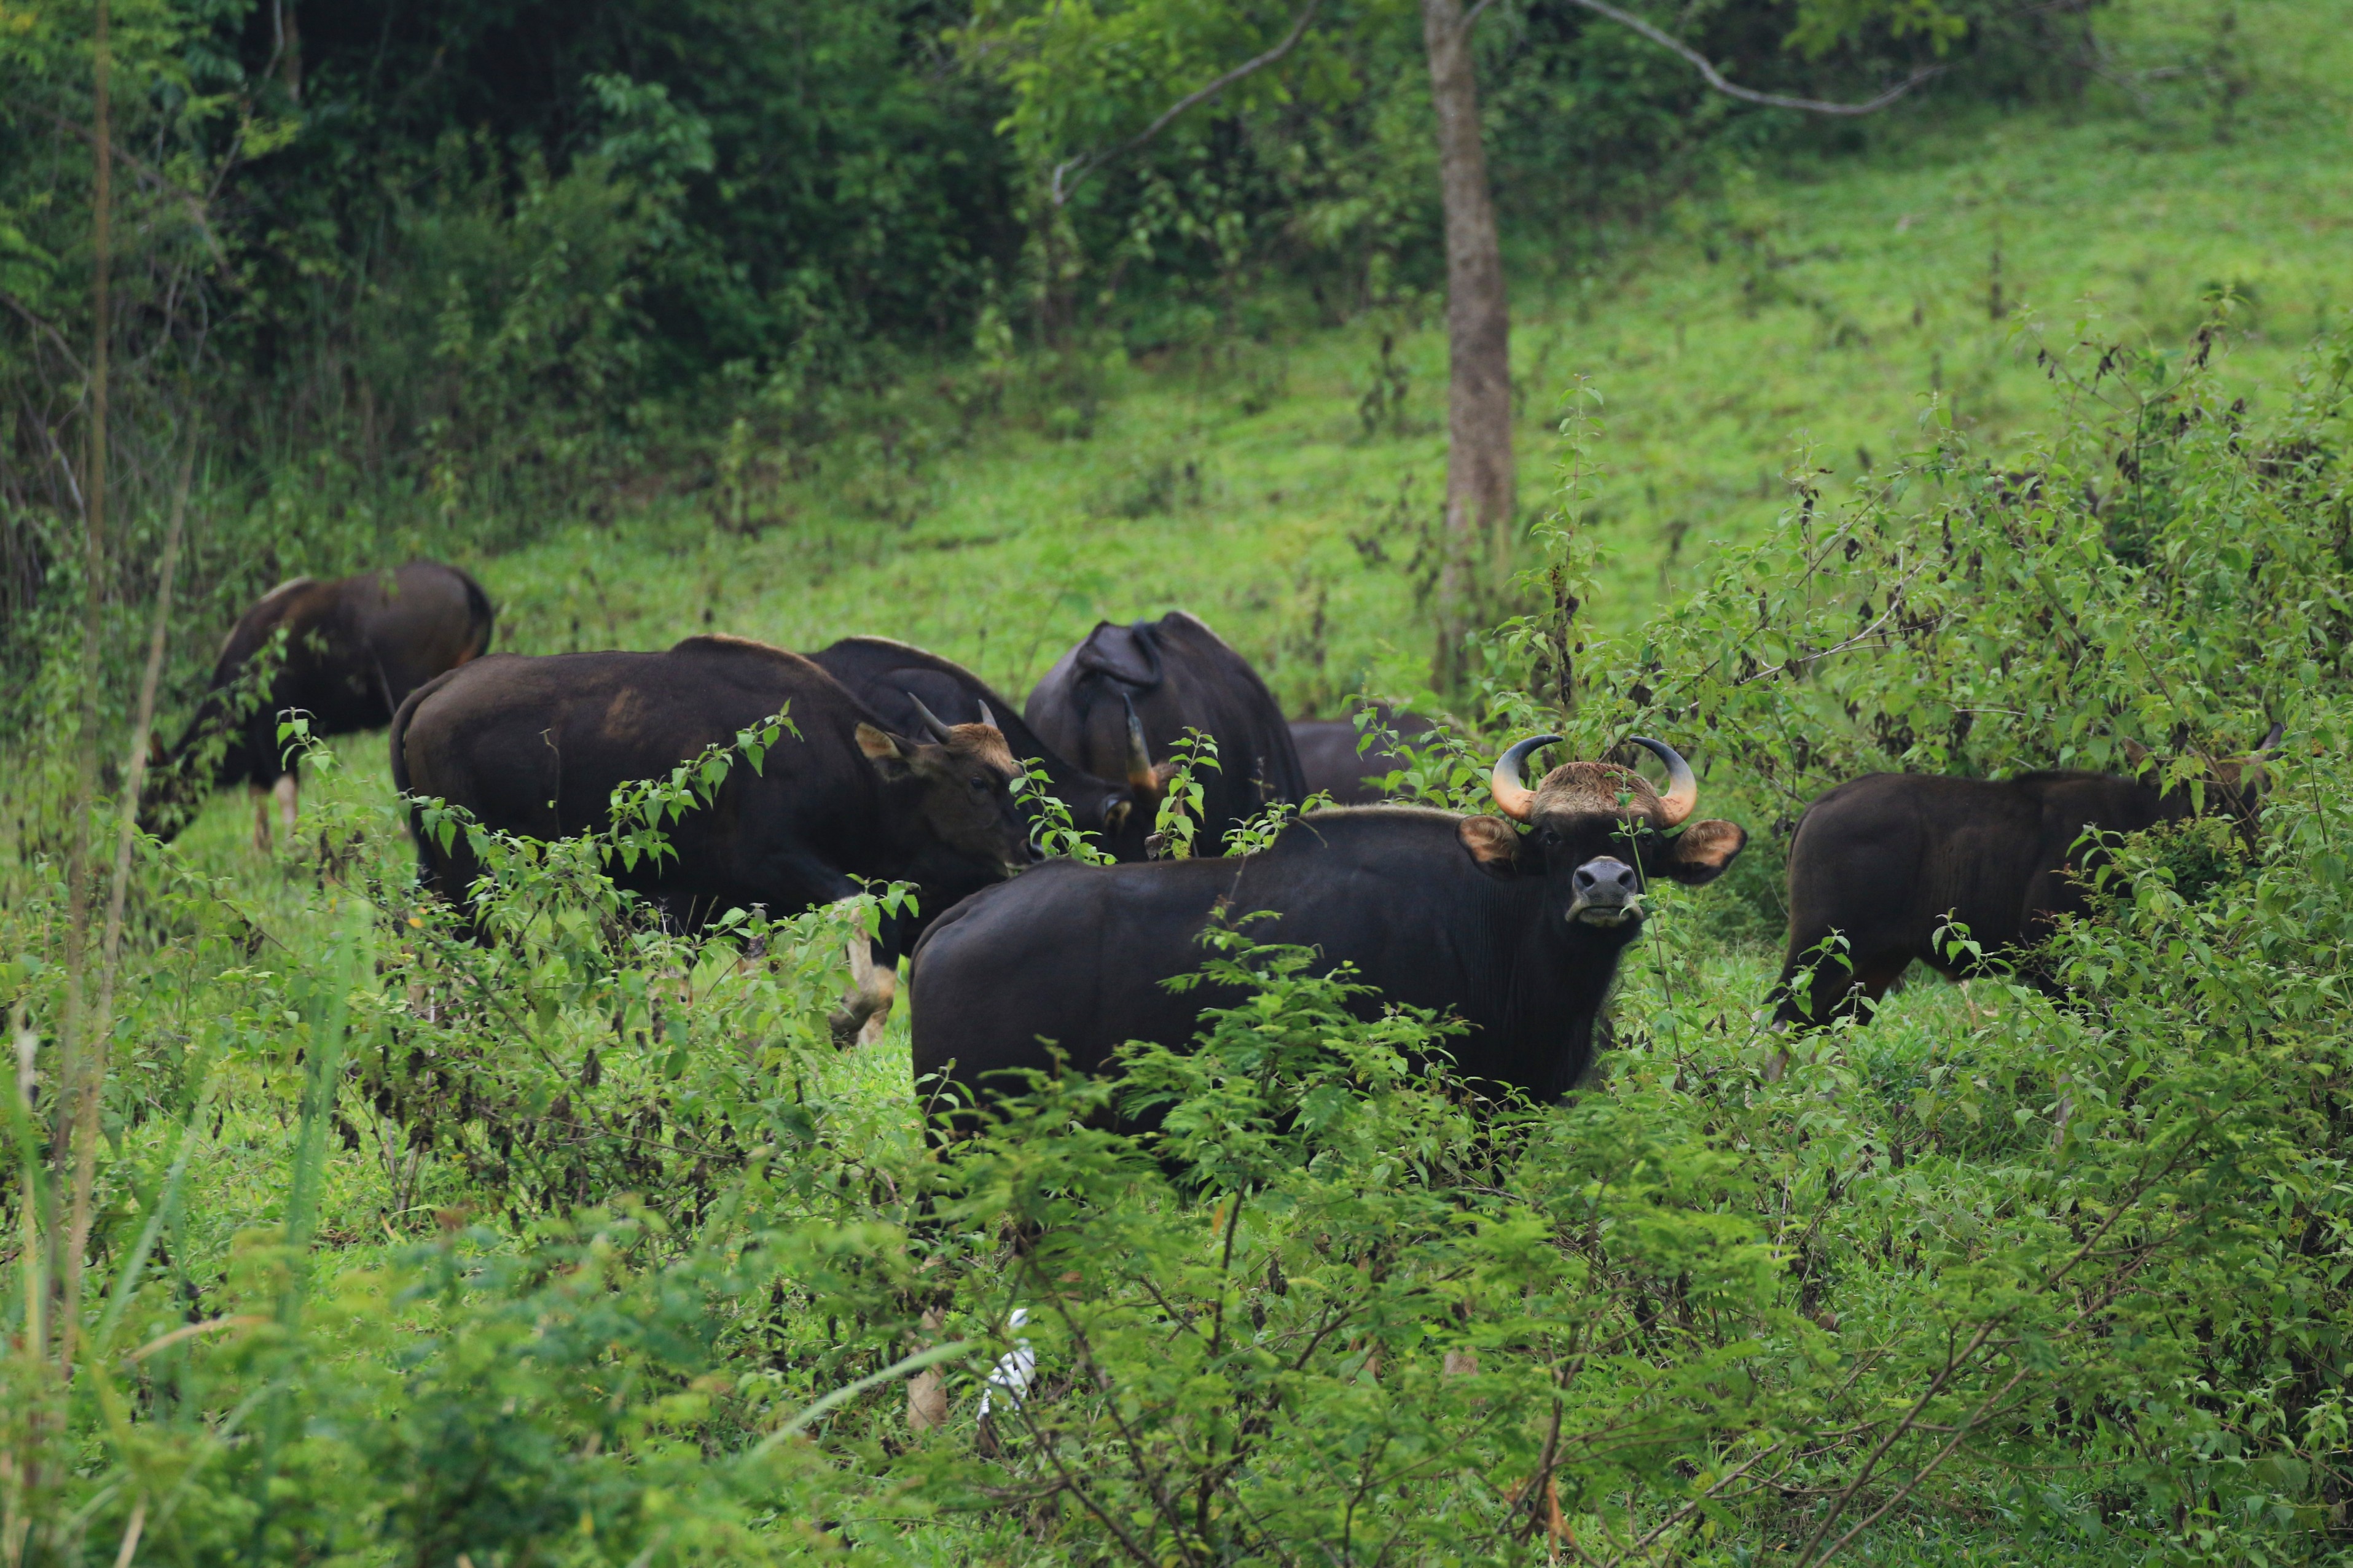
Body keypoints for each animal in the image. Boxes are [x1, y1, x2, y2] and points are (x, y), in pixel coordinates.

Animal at [142, 561, 493, 850]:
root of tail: (463, 582)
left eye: (152, 791)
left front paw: (294, 847)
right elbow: (257, 795)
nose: (141, 834)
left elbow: (284, 792)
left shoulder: (275, 732)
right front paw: (262, 851)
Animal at [391, 634, 1037, 1042]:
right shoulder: (773, 862)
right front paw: (842, 1020)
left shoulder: (745, 908)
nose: (1031, 851)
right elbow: (862, 924)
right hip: (472, 877)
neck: (841, 764)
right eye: (978, 782)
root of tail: (434, 691)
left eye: (1018, 774)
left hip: (437, 870)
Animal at [1769, 728, 2281, 1026]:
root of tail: (1816, 808)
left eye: (2258, 794)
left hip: (1873, 963)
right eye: (2207, 795)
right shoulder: (2052, 957)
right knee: (1781, 1020)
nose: (2251, 845)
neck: (2131, 824)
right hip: (1820, 945)